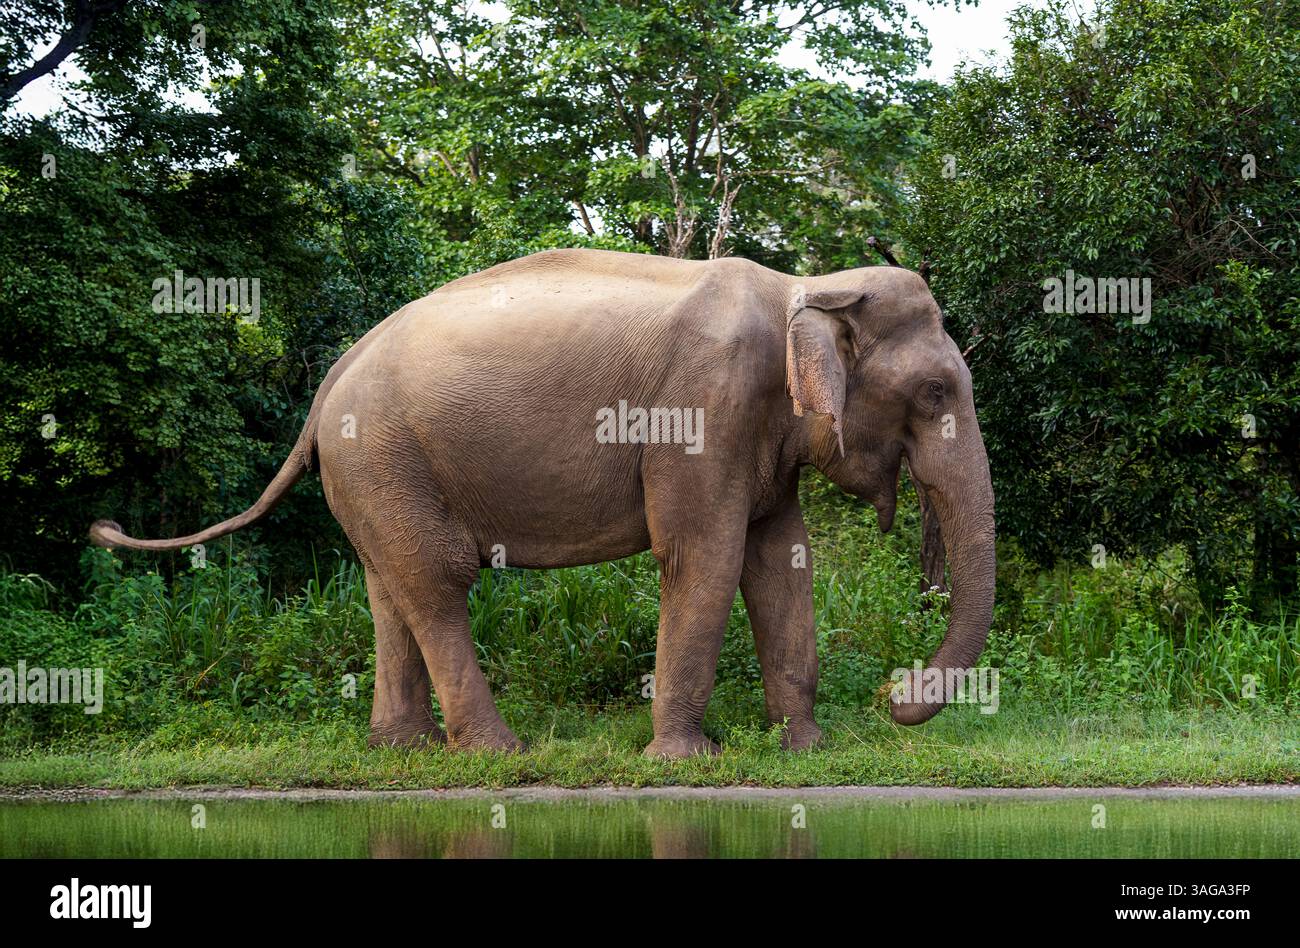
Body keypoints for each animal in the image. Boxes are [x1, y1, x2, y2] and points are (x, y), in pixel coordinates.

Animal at [90, 248, 995, 758]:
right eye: (934, 391)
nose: (894, 696)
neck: (802, 289)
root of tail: (328, 383)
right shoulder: (704, 411)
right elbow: (702, 555)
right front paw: (684, 763)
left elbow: (780, 564)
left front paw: (804, 752)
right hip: (384, 454)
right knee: (436, 583)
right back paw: (495, 755)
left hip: (373, 471)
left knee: (390, 588)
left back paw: (404, 751)